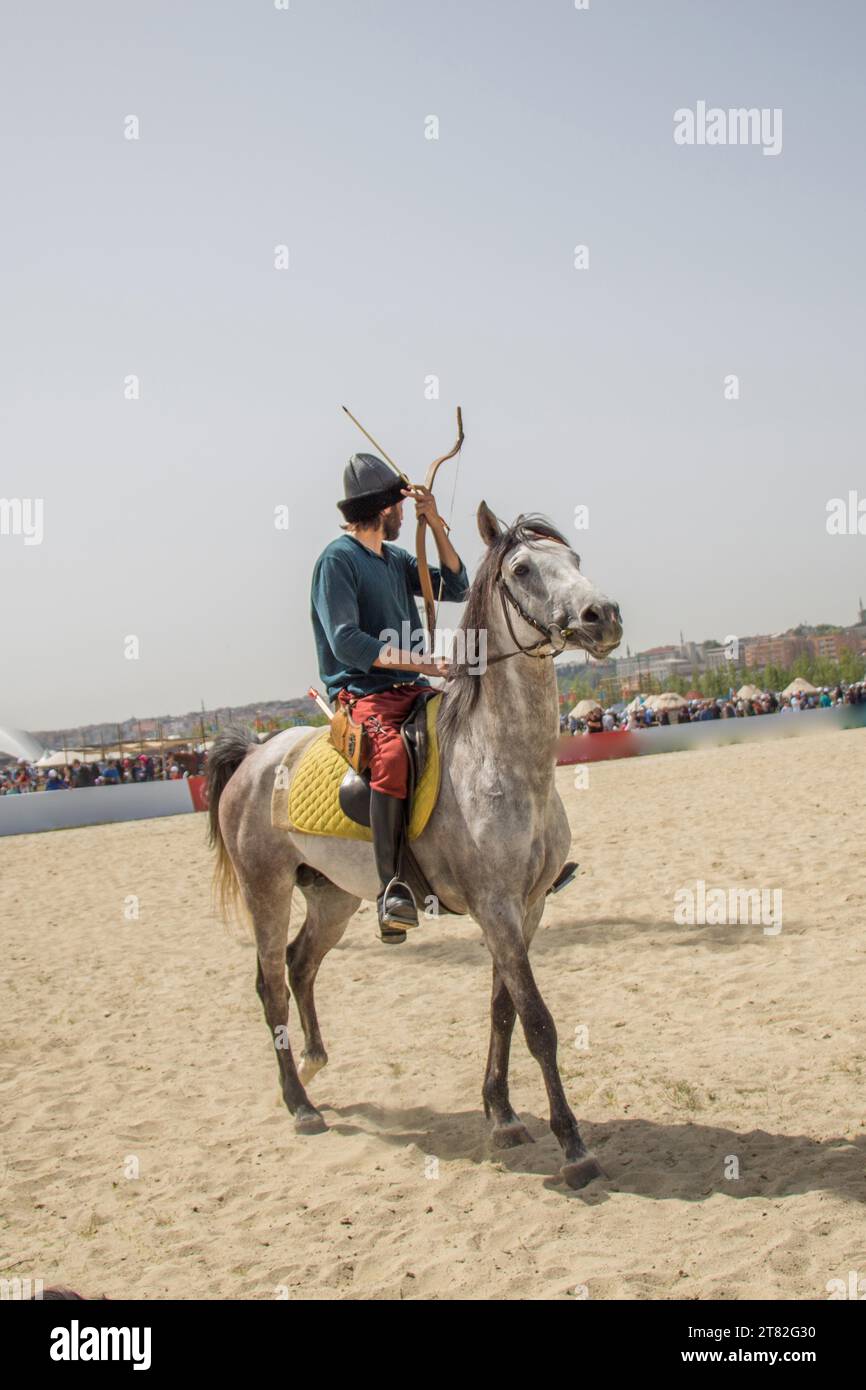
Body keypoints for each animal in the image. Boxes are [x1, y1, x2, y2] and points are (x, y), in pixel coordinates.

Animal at [207, 502, 622, 1188]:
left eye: (577, 560)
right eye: (522, 568)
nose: (603, 616)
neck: (505, 762)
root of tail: (254, 756)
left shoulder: (527, 907)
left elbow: (503, 1010)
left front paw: (502, 1114)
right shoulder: (497, 908)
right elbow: (538, 1021)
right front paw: (572, 1146)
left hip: (333, 898)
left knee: (300, 963)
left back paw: (315, 1061)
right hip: (266, 890)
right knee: (270, 983)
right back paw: (300, 1105)